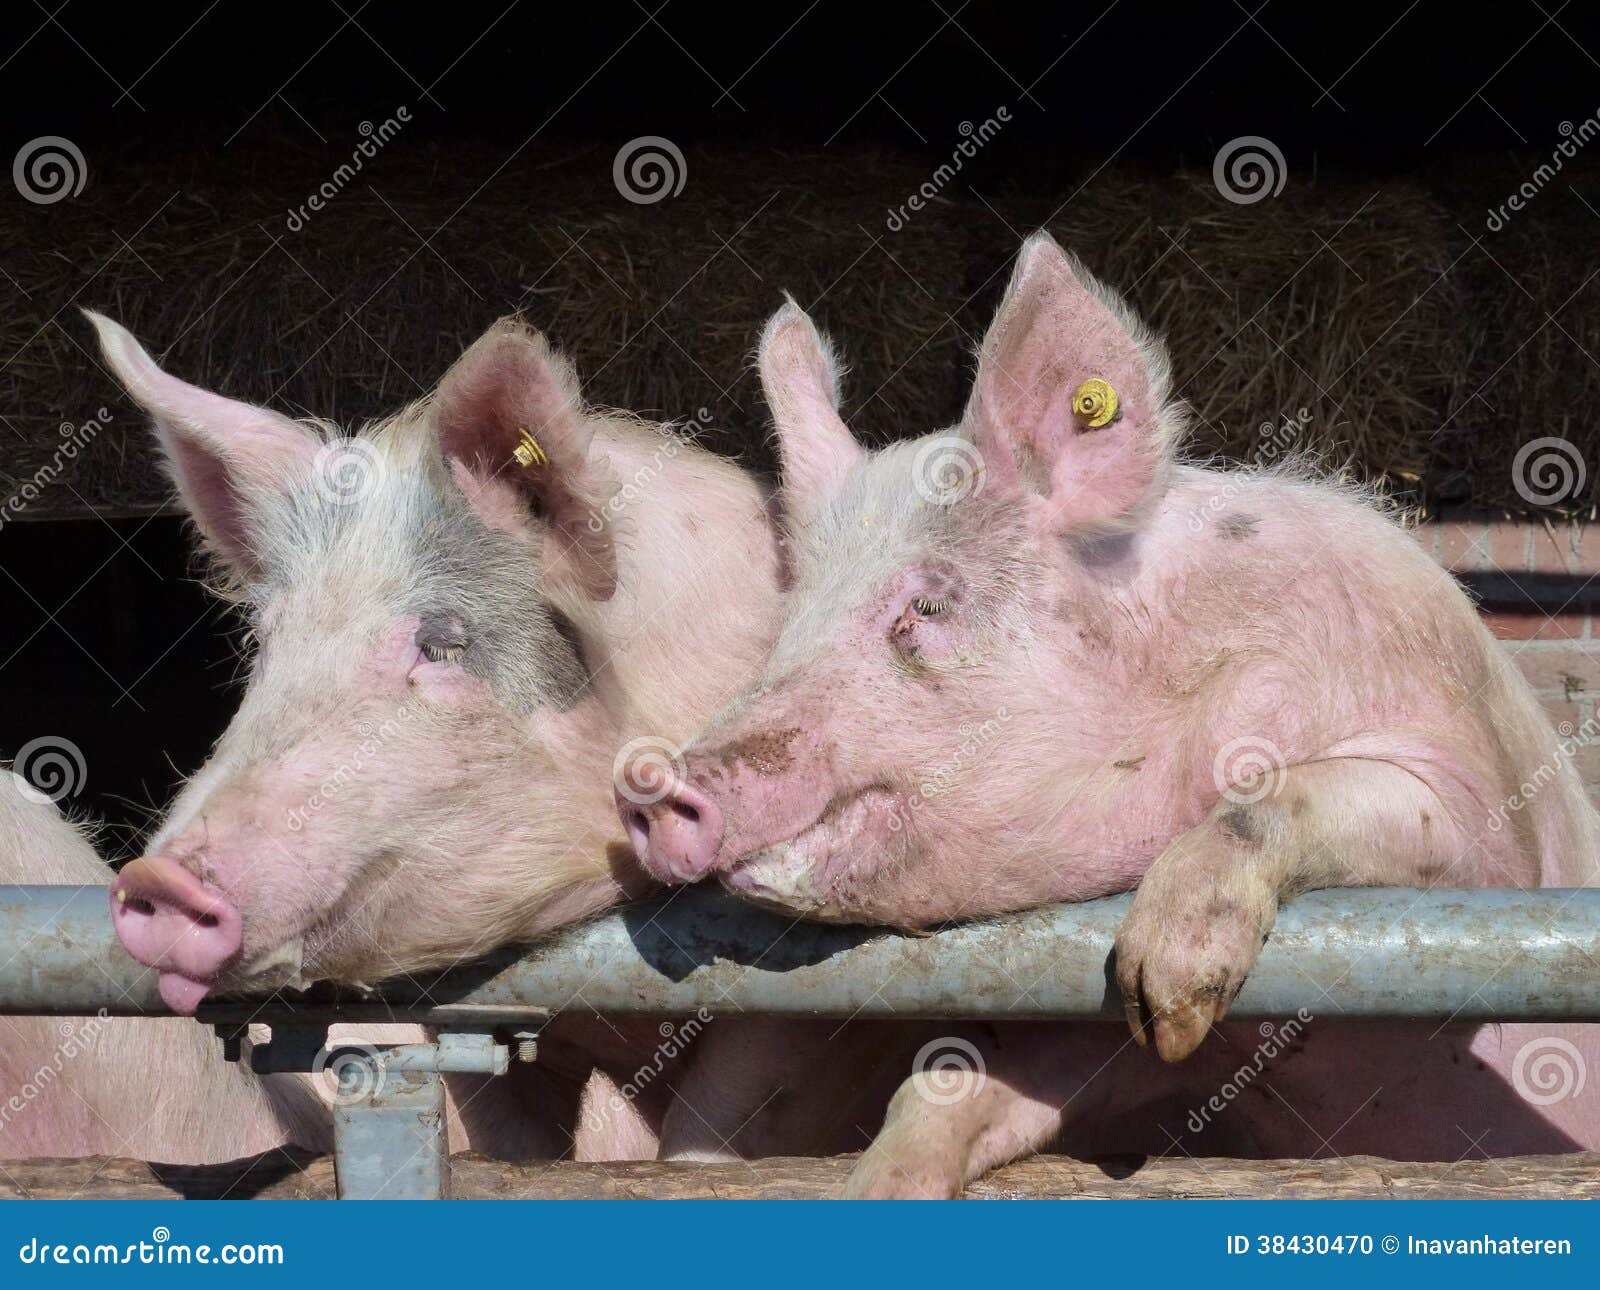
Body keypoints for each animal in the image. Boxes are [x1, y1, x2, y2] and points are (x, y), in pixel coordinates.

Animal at [622, 231, 1600, 1194]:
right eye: (788, 620)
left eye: (928, 607)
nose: (652, 784)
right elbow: (955, 1086)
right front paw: (878, 1185)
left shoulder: (1494, 837)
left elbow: (1312, 795)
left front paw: (1167, 980)